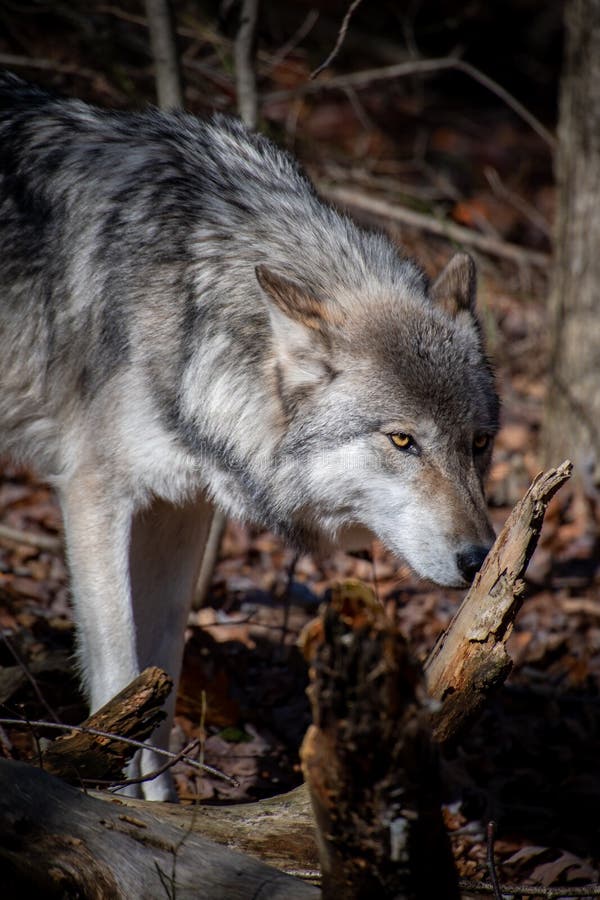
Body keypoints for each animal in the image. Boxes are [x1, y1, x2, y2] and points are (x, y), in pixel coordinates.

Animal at [0, 72, 498, 799]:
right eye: (403, 441)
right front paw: (115, 800)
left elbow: (160, 681)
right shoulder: (94, 495)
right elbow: (119, 675)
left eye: (479, 444)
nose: (478, 558)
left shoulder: (178, 508)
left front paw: (161, 802)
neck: (190, 298)